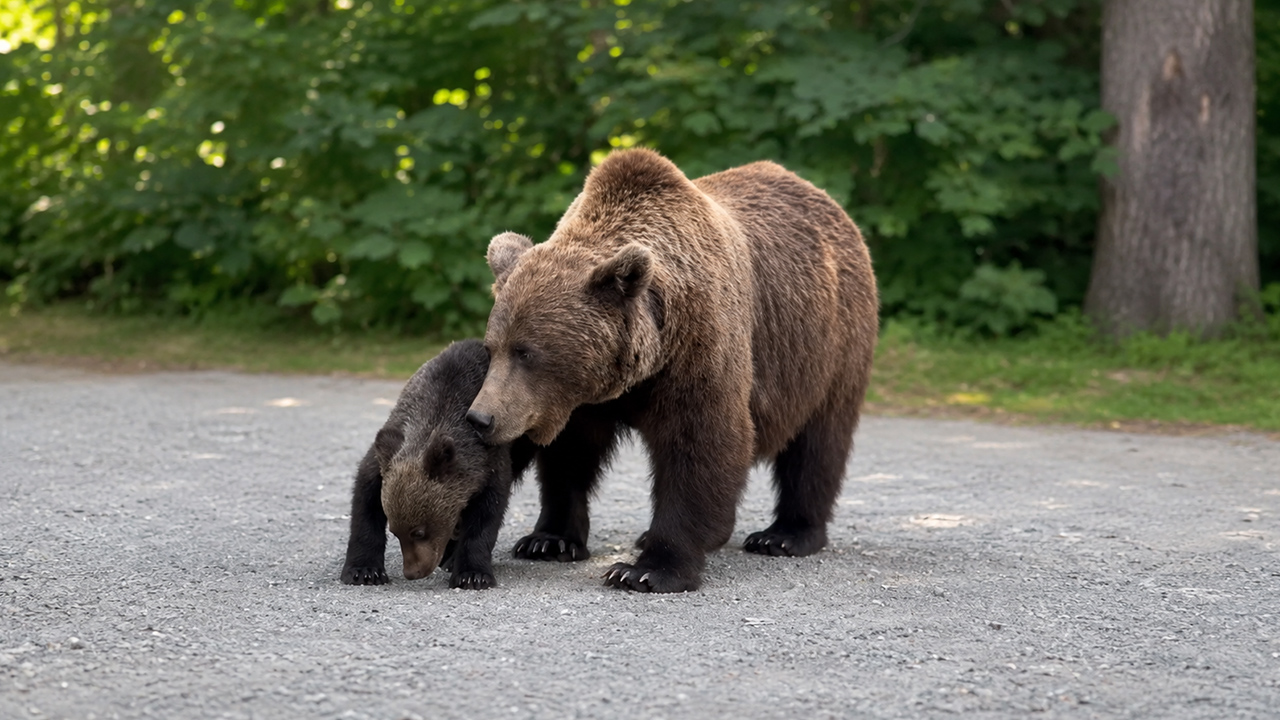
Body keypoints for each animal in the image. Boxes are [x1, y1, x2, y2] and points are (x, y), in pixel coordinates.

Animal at [341, 339, 537, 589]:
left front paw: (472, 575)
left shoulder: (490, 461)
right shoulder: (387, 452)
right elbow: (365, 501)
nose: (412, 572)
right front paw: (364, 570)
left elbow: (486, 516)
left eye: (419, 531)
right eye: (395, 531)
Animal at [465, 148, 878, 593]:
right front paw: (549, 539)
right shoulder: (575, 401)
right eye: (493, 347)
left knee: (817, 444)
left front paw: (646, 569)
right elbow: (569, 456)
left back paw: (786, 534)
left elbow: (700, 445)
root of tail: (830, 205)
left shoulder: (697, 352)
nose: (481, 418)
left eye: (526, 352)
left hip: (828, 349)